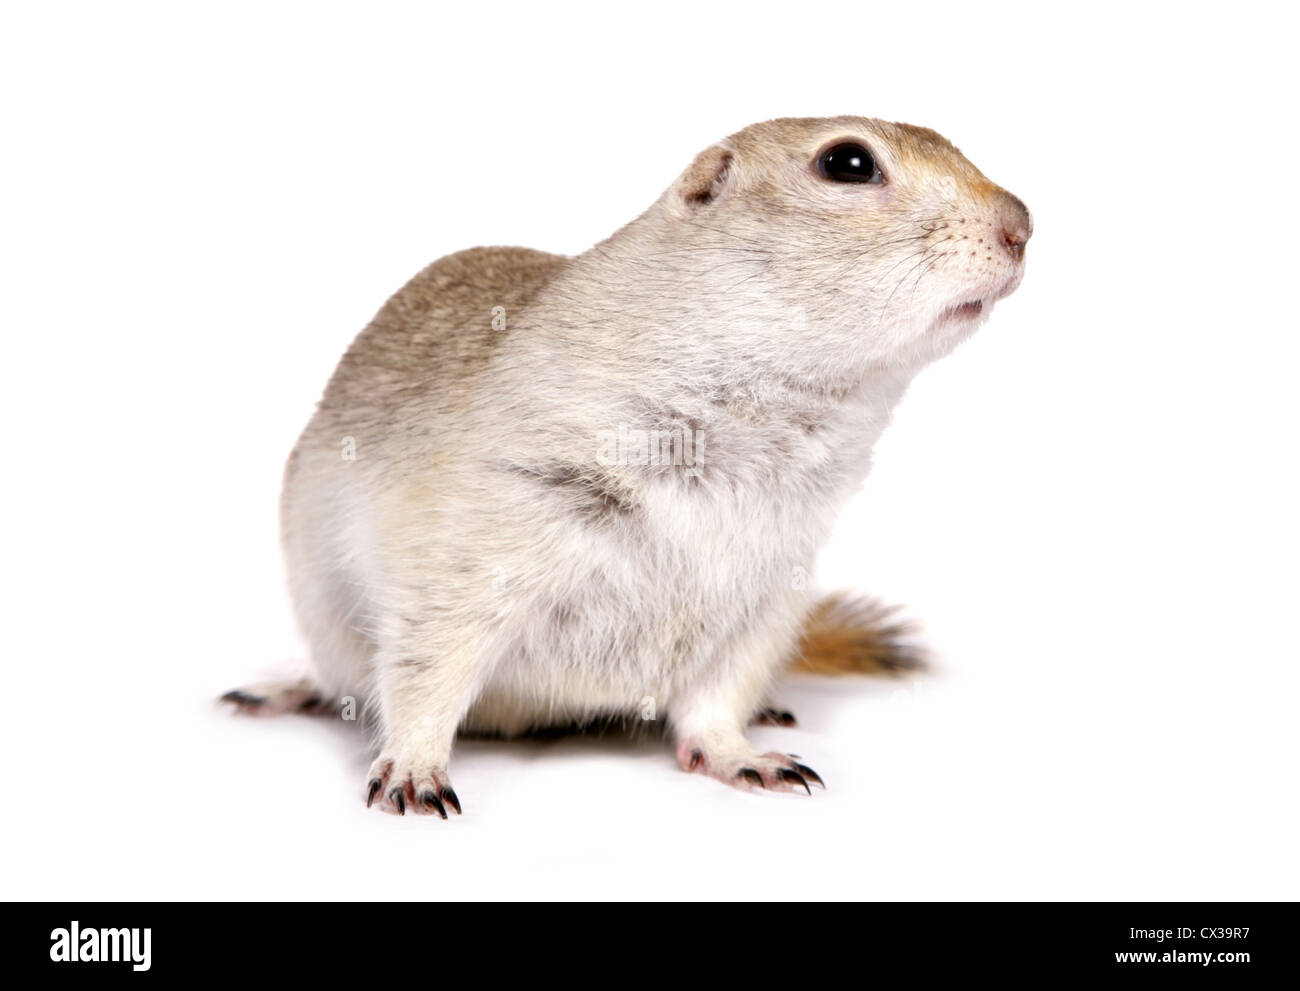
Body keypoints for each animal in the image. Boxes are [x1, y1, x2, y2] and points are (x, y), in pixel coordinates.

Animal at [223, 116, 1031, 816]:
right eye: (849, 162)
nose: (1023, 224)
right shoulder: (486, 521)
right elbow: (434, 650)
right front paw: (414, 772)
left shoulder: (773, 583)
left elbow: (723, 684)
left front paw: (743, 755)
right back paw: (285, 692)